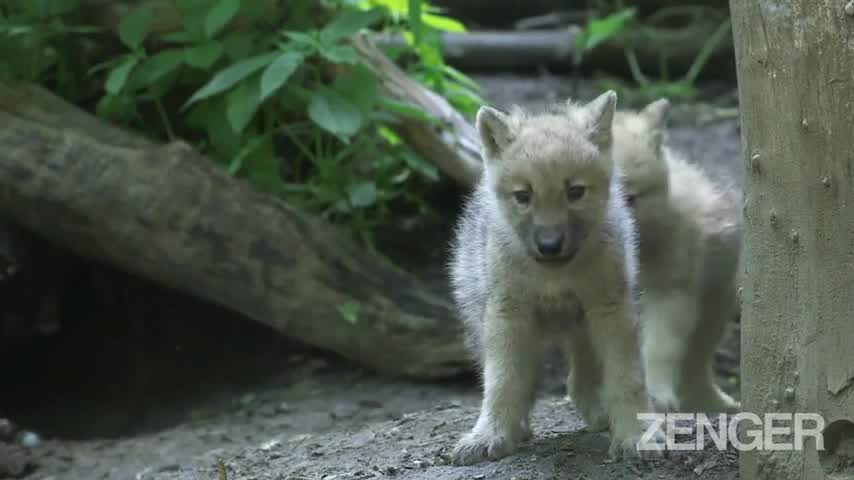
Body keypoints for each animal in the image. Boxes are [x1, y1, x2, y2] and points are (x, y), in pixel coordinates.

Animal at [448, 90, 661, 465]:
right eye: (523, 196)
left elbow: (627, 379)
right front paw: (489, 435)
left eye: (575, 192)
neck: (555, 278)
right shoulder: (507, 314)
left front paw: (635, 435)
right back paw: (517, 429)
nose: (549, 245)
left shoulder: (610, 311)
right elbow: (502, 381)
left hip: (585, 330)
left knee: (579, 382)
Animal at [612, 98, 742, 414]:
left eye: (630, 197)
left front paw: (656, 395)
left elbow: (662, 344)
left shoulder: (672, 286)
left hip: (716, 296)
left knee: (698, 356)